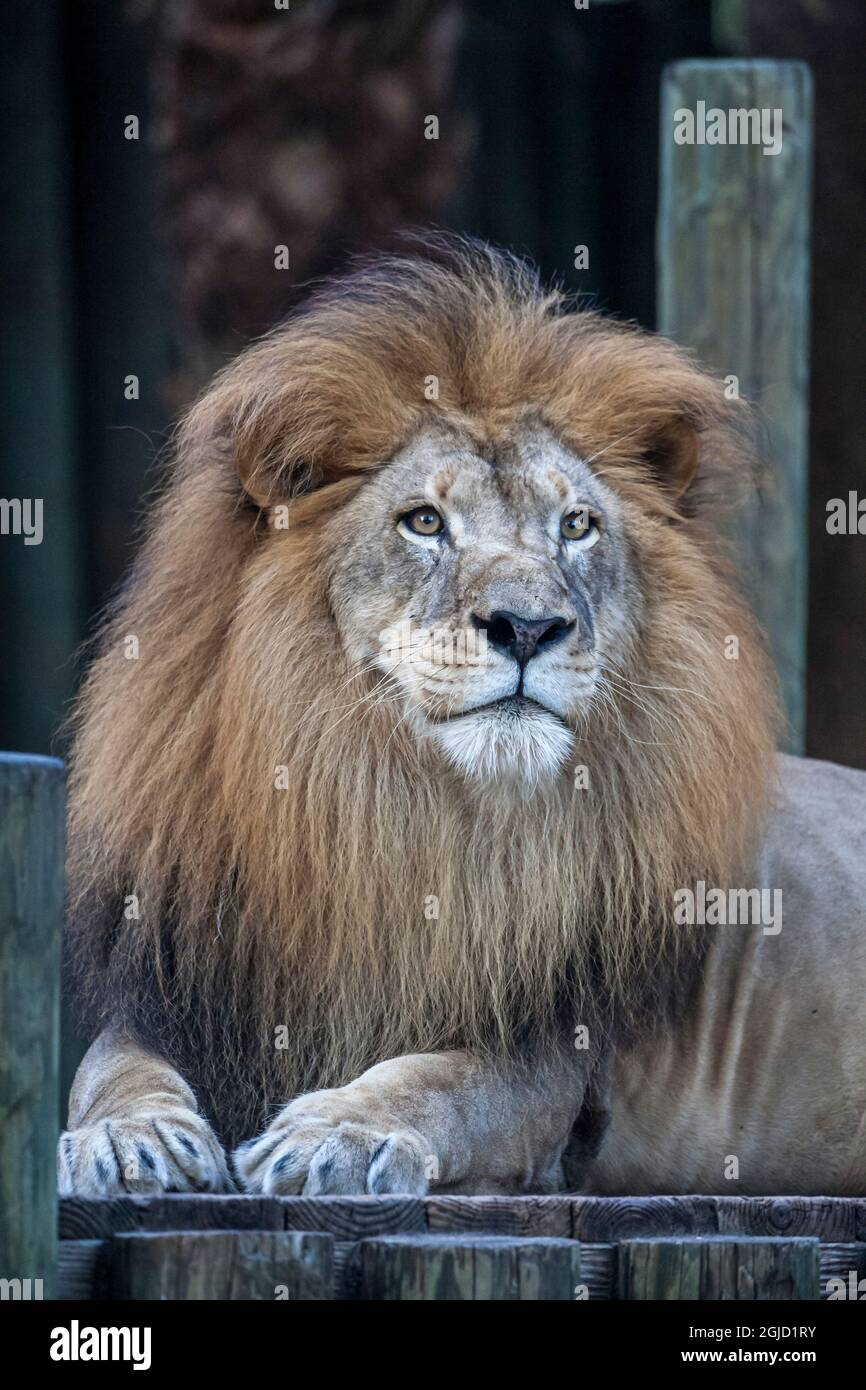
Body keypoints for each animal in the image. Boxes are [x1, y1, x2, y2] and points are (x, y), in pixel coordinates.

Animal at [58, 238, 866, 1200]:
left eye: (578, 526)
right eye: (423, 521)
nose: (528, 626)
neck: (397, 806)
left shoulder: (548, 1062)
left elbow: (438, 1082)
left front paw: (339, 1133)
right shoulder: (180, 977)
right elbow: (110, 1065)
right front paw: (129, 1137)